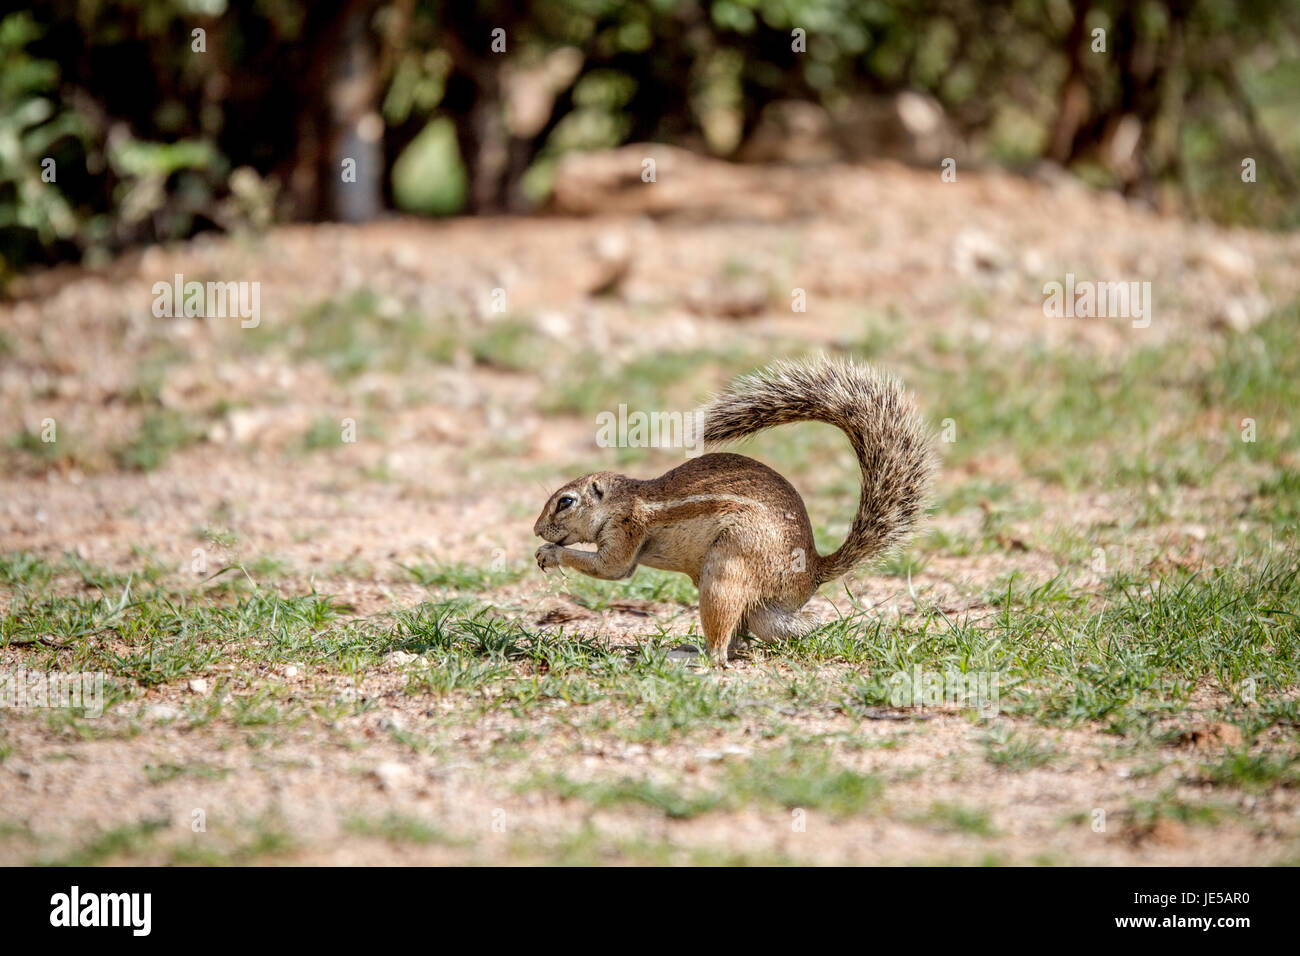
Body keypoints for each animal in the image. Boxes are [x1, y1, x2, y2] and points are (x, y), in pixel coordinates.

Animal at [533, 356, 938, 665]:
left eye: (565, 502)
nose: (536, 530)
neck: (622, 499)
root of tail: (813, 571)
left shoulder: (626, 528)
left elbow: (611, 569)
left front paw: (549, 553)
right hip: (752, 598)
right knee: (765, 631)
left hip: (726, 569)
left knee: (721, 649)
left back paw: (689, 656)